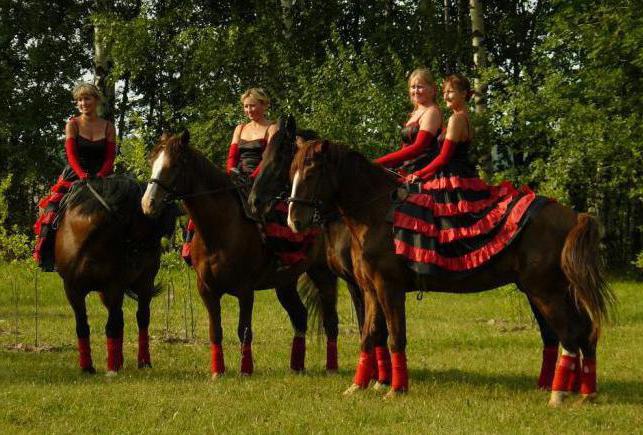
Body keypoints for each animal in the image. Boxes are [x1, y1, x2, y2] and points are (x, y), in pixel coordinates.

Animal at [54, 175, 174, 376]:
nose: (157, 246)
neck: (89, 242)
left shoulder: (114, 286)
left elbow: (112, 326)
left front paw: (112, 368)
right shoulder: (72, 289)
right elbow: (82, 326)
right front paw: (87, 367)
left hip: (145, 283)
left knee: (142, 317)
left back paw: (143, 361)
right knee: (122, 319)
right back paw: (120, 360)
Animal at [141, 130, 360, 378]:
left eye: (175, 164)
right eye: (152, 161)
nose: (148, 203)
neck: (221, 227)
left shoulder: (245, 290)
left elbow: (244, 330)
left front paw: (246, 370)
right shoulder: (206, 290)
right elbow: (215, 331)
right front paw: (218, 371)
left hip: (322, 274)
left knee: (330, 321)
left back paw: (331, 367)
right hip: (285, 283)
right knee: (300, 317)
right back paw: (297, 366)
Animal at [286, 141, 612, 408]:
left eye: (311, 172)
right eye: (292, 172)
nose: (294, 220)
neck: (376, 212)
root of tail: (575, 216)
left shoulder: (389, 287)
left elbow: (395, 337)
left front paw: (396, 389)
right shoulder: (370, 289)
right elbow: (370, 335)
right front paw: (360, 385)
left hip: (546, 292)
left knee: (570, 333)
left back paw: (558, 394)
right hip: (548, 291)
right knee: (582, 332)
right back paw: (584, 392)